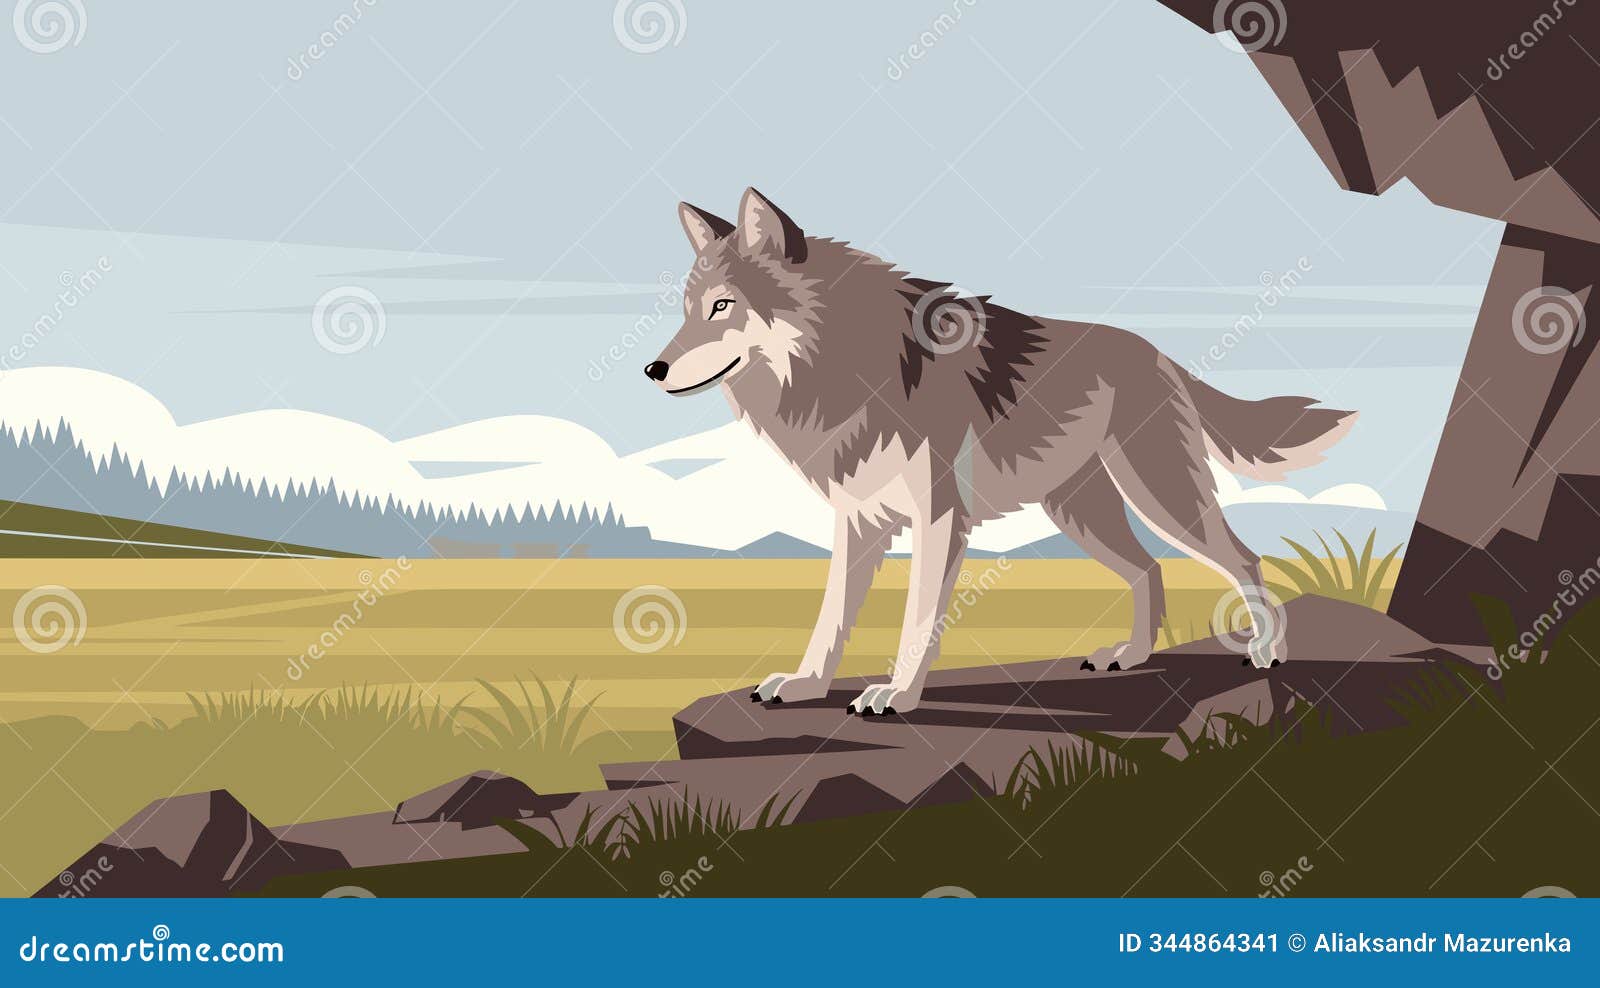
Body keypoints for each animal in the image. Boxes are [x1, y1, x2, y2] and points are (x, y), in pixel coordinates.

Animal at [648, 188, 1356, 716]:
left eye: (722, 307)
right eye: (686, 311)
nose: (653, 369)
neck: (846, 367)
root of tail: (1157, 353)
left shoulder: (938, 518)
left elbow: (917, 618)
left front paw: (897, 694)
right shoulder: (859, 520)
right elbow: (831, 618)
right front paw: (806, 685)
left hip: (1161, 498)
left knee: (1243, 557)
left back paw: (1267, 651)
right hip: (1081, 514)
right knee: (1149, 570)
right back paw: (1130, 657)